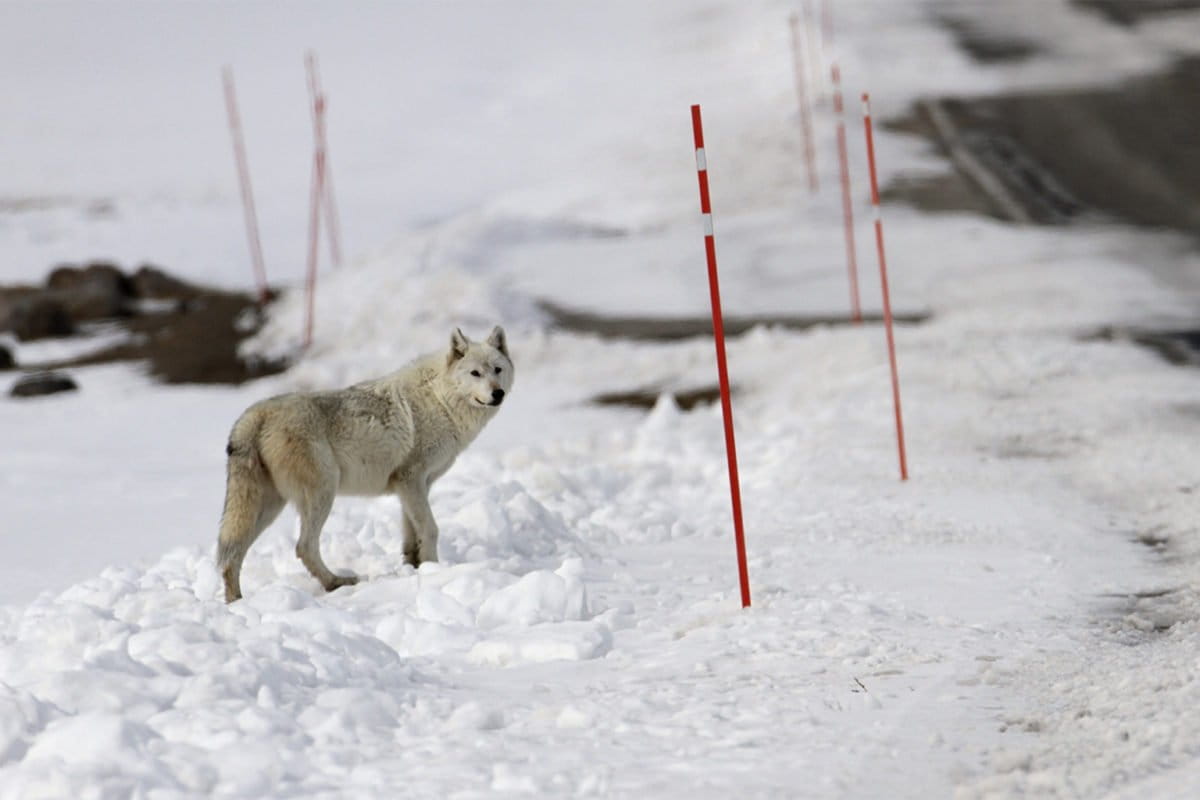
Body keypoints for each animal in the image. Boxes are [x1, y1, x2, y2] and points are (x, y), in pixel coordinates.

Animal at [217, 326, 513, 603]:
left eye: (497, 370)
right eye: (475, 373)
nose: (498, 393)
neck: (439, 399)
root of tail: (254, 415)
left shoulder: (415, 486)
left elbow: (411, 535)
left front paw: (413, 569)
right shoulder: (411, 479)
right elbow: (430, 529)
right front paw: (432, 570)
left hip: (268, 508)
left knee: (233, 553)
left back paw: (235, 602)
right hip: (322, 493)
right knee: (304, 546)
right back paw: (336, 582)